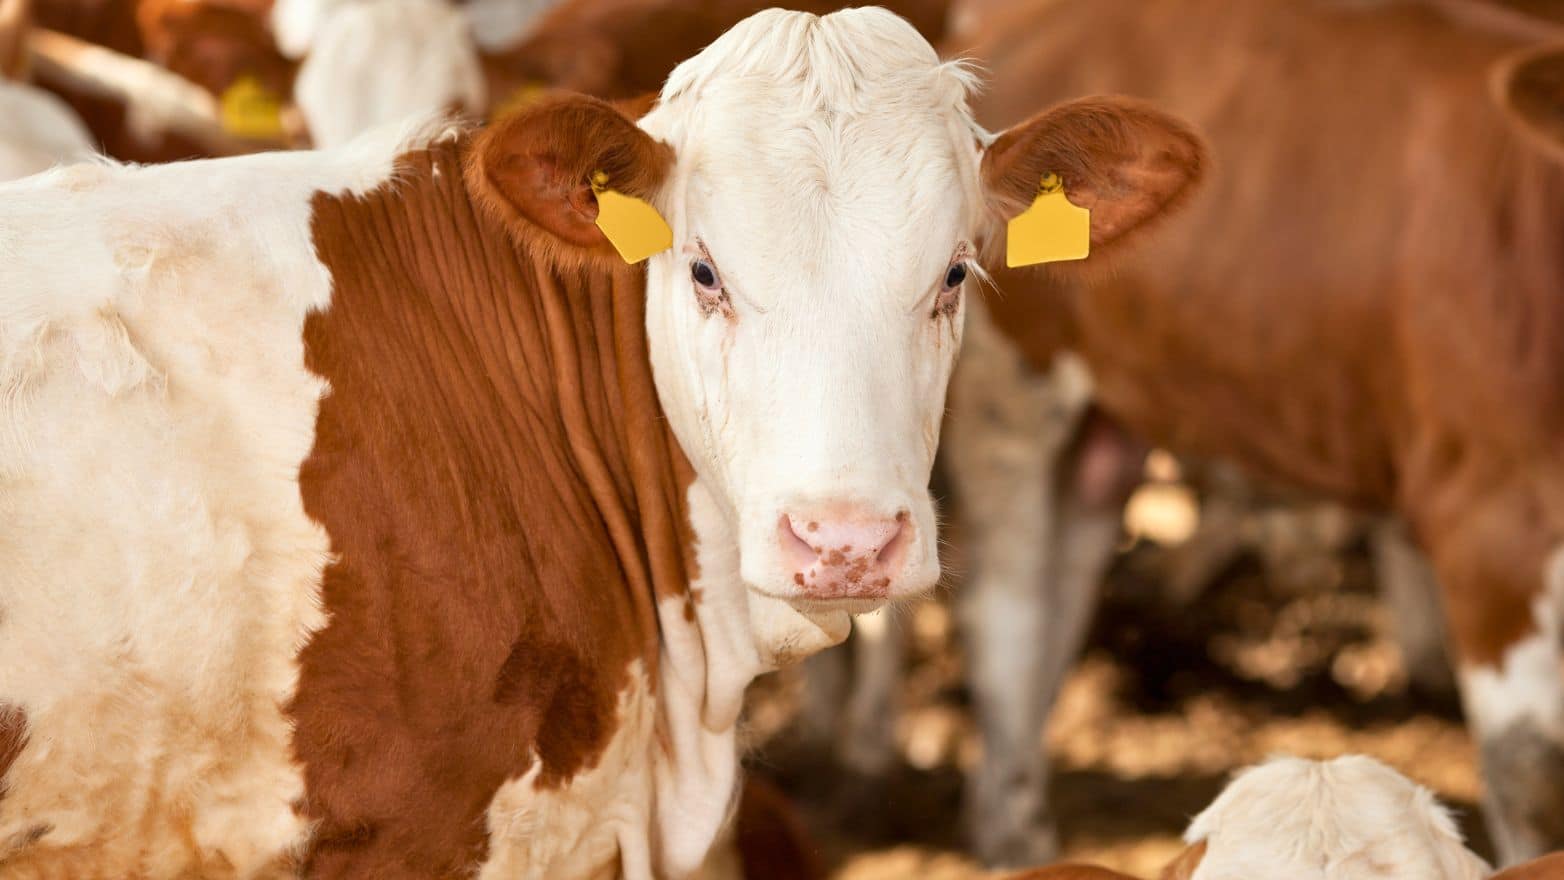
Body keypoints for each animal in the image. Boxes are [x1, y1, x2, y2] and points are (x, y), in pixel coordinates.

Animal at [938, 0, 1564, 866]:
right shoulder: (1489, 516)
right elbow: (1531, 772)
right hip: (1011, 392)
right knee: (1009, 617)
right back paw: (1014, 843)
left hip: (1108, 422)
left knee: (1062, 601)